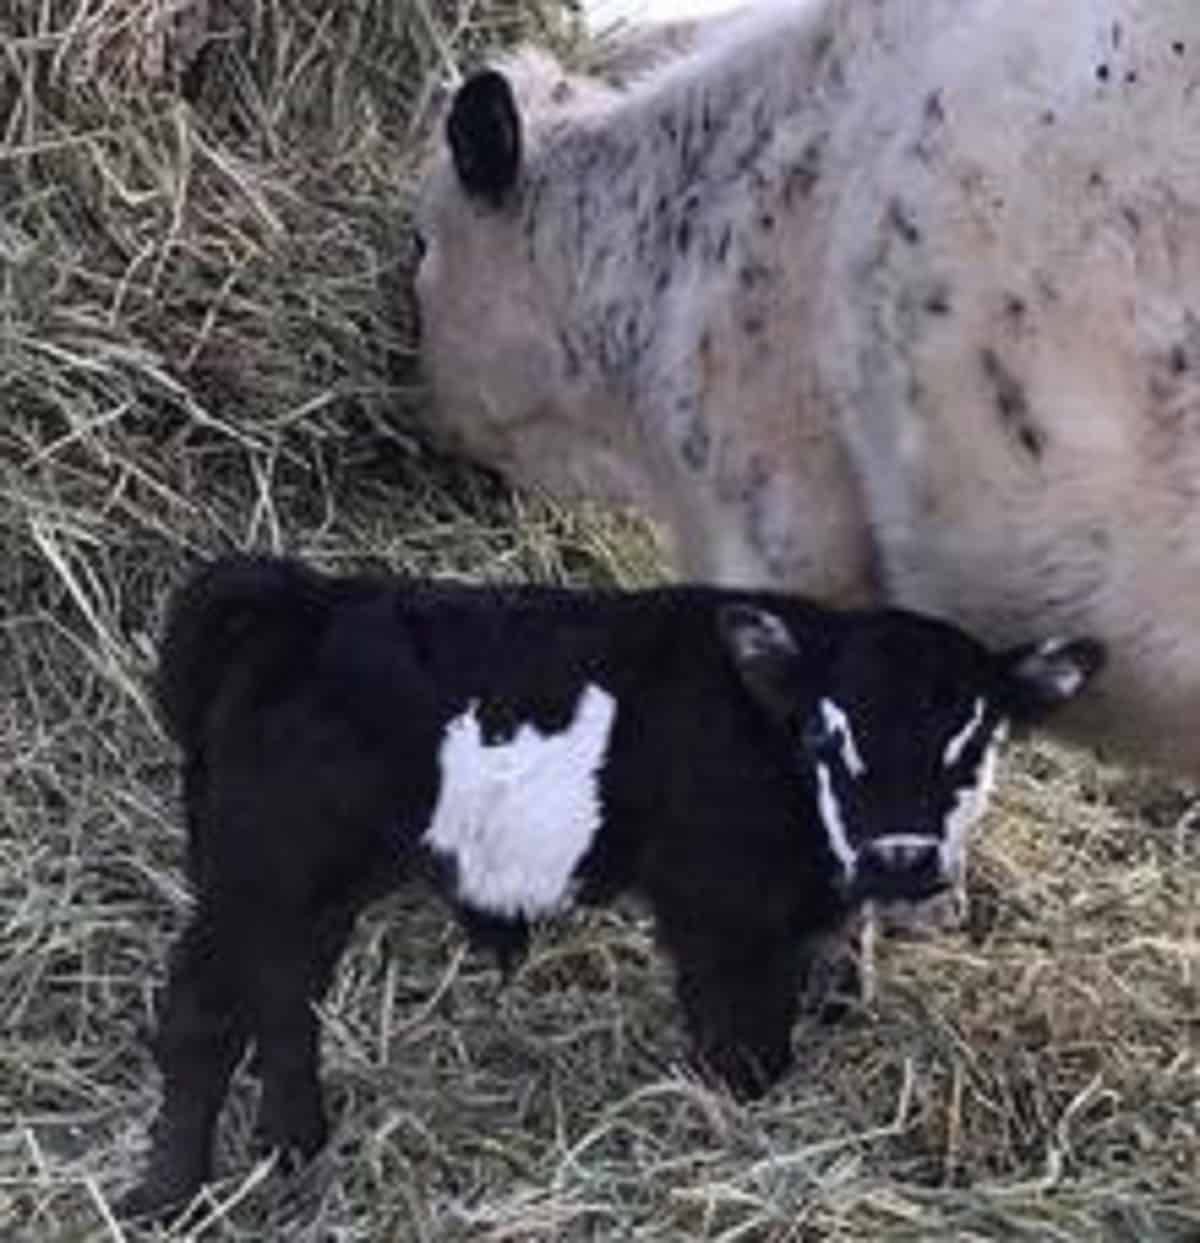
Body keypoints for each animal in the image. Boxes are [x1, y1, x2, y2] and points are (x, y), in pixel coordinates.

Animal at [120, 552, 1101, 1219]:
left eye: (973, 743)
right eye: (830, 735)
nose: (900, 856)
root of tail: (304, 598)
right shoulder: (723, 915)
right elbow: (744, 1042)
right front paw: (742, 1134)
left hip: (306, 893)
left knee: (286, 1002)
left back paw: (295, 1151)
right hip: (260, 874)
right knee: (203, 1016)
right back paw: (165, 1199)